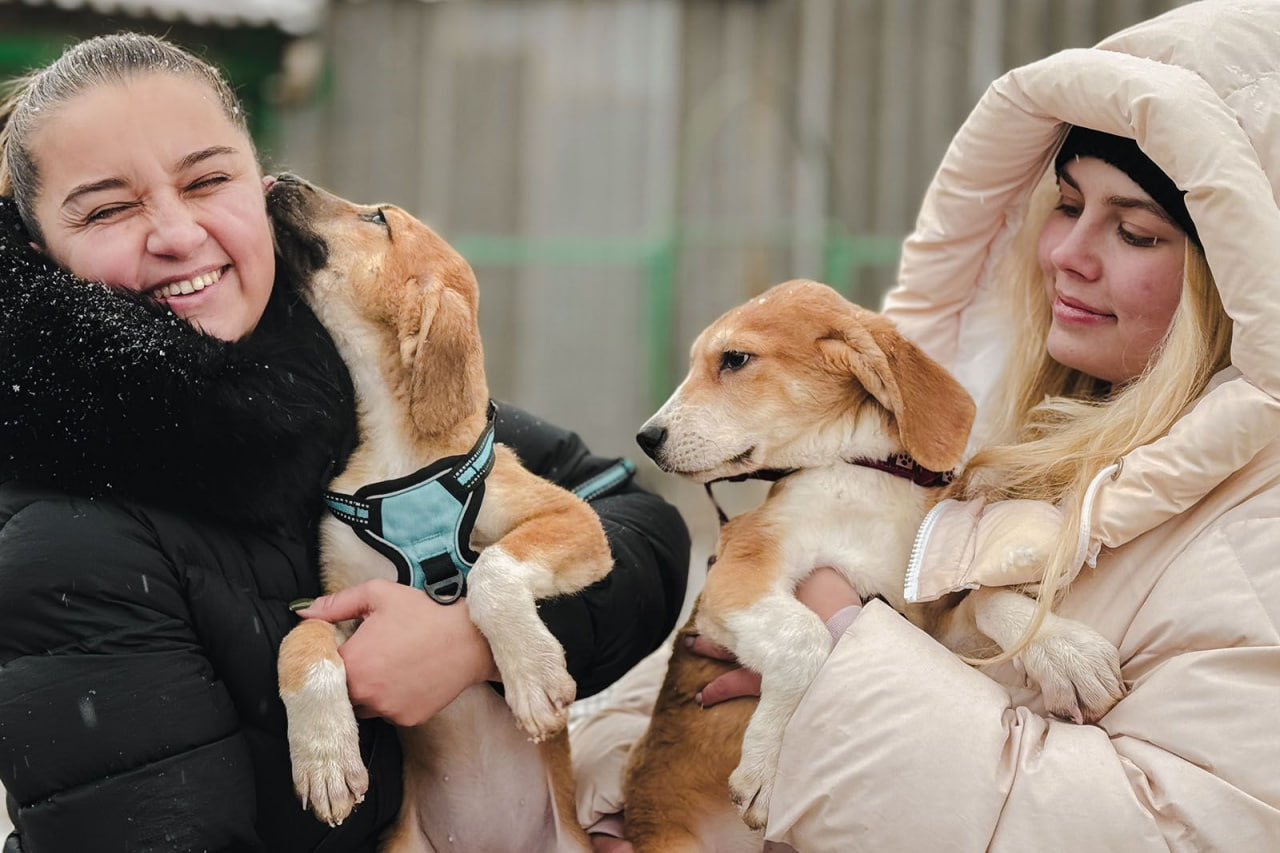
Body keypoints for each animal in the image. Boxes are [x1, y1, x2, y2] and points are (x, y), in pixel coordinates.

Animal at [627, 279, 1121, 845]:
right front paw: (770, 766)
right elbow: (805, 638)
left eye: (734, 359)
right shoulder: (738, 567)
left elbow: (987, 599)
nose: (646, 438)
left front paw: (1066, 651)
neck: (858, 472)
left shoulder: (926, 626)